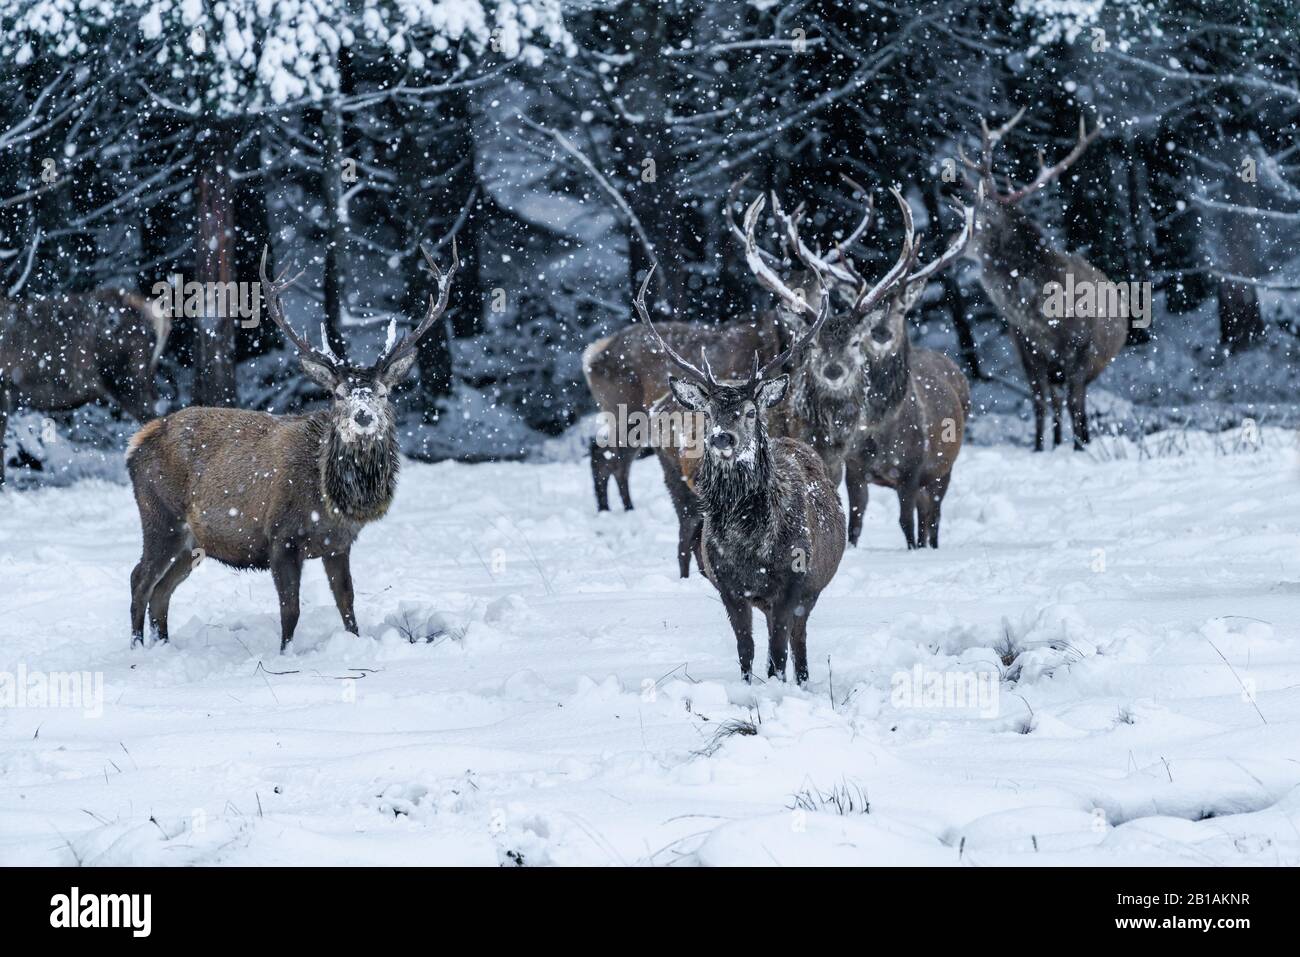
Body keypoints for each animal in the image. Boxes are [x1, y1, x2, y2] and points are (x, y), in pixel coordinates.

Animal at [125, 243, 456, 651]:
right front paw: (285, 654)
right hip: (161, 515)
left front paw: (354, 643)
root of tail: (138, 442)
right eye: (338, 394)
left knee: (162, 590)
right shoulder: (281, 537)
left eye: (382, 392)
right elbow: (291, 610)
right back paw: (137, 648)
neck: (331, 499)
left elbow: (347, 603)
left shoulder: (338, 544)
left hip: (193, 541)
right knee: (139, 579)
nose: (362, 416)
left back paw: (164, 645)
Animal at [741, 180, 975, 549]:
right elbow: (854, 524)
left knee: (932, 520)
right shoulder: (853, 470)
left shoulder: (906, 472)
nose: (834, 371)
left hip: (942, 471)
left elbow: (904, 525)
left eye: (854, 342)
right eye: (813, 345)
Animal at [959, 110, 1127, 450]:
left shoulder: (1081, 350)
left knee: (1076, 402)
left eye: (979, 221)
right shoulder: (1027, 350)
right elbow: (1038, 402)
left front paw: (1079, 448)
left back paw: (1080, 440)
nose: (950, 246)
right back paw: (1058, 440)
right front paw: (1038, 448)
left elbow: (1076, 404)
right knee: (1055, 401)